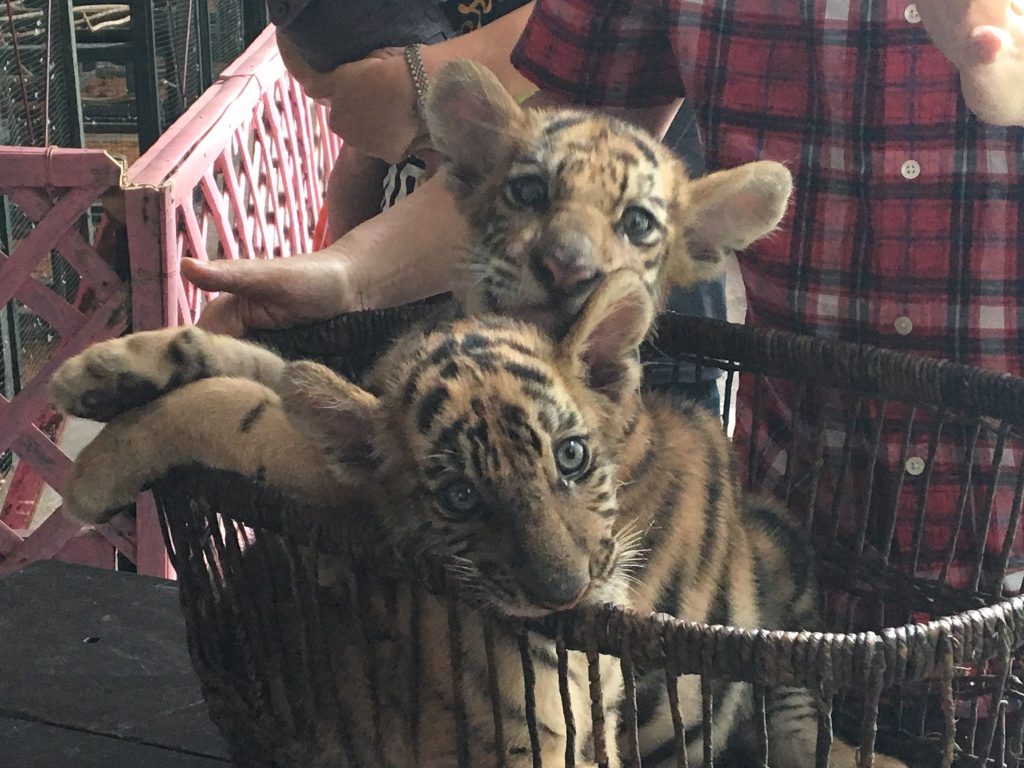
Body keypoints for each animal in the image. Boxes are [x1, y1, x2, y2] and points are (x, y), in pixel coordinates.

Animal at [51, 271, 904, 768]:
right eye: (462, 498)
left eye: (572, 458)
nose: (565, 593)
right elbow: (268, 367)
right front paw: (101, 373)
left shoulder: (355, 489)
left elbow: (248, 405)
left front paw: (91, 472)